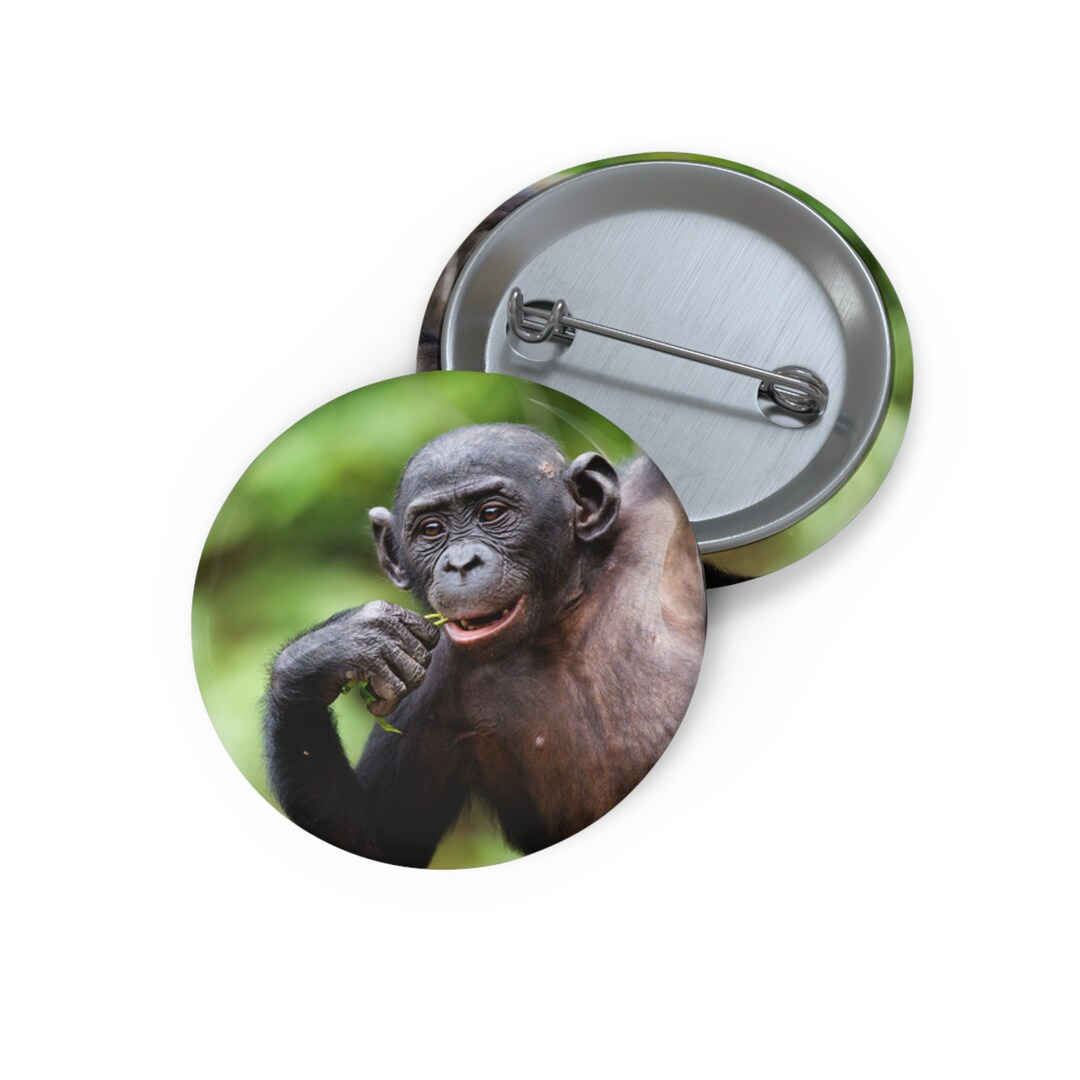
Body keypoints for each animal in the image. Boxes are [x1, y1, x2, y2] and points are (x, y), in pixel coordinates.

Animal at [264, 424, 706, 867]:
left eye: (491, 514)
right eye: (432, 530)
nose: (461, 563)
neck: (561, 616)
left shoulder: (657, 508)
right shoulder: (429, 688)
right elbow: (381, 838)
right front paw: (337, 648)